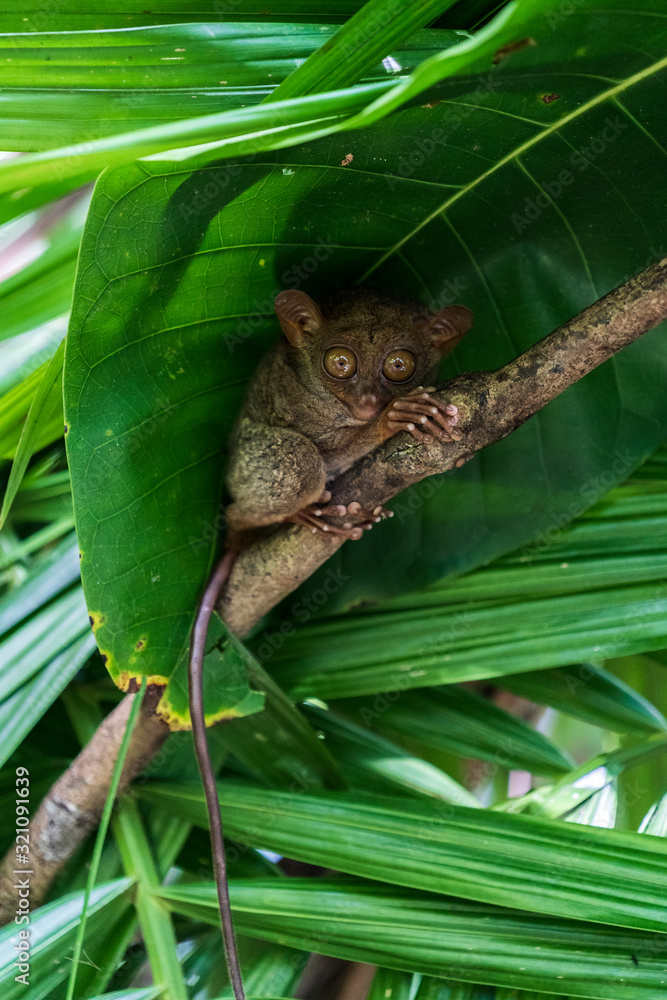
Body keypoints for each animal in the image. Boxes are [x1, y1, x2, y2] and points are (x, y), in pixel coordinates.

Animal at [188, 287, 473, 999]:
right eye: (340, 363)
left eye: (399, 363)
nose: (372, 399)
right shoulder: (306, 409)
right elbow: (327, 442)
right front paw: (394, 421)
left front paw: (403, 410)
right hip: (254, 469)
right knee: (291, 467)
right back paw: (301, 511)